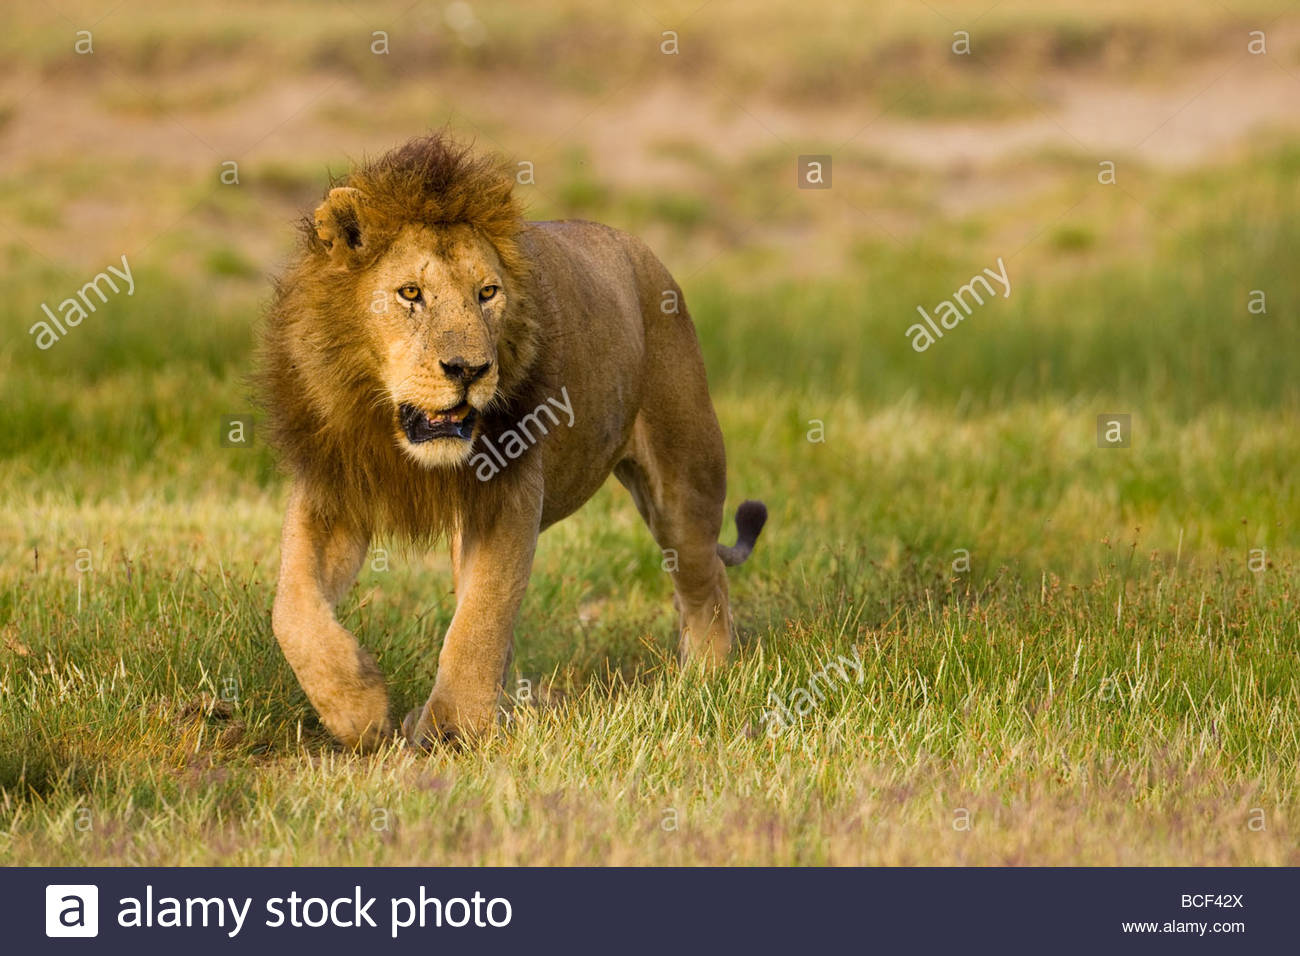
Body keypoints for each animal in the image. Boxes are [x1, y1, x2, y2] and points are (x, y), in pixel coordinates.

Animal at [256, 133, 766, 749]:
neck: (388, 428)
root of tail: (643, 253)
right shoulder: (333, 489)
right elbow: (291, 607)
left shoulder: (509, 495)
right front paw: (357, 708)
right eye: (410, 293)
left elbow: (482, 619)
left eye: (487, 293)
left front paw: (451, 729)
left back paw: (703, 685)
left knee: (705, 583)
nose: (469, 369)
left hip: (684, 478)